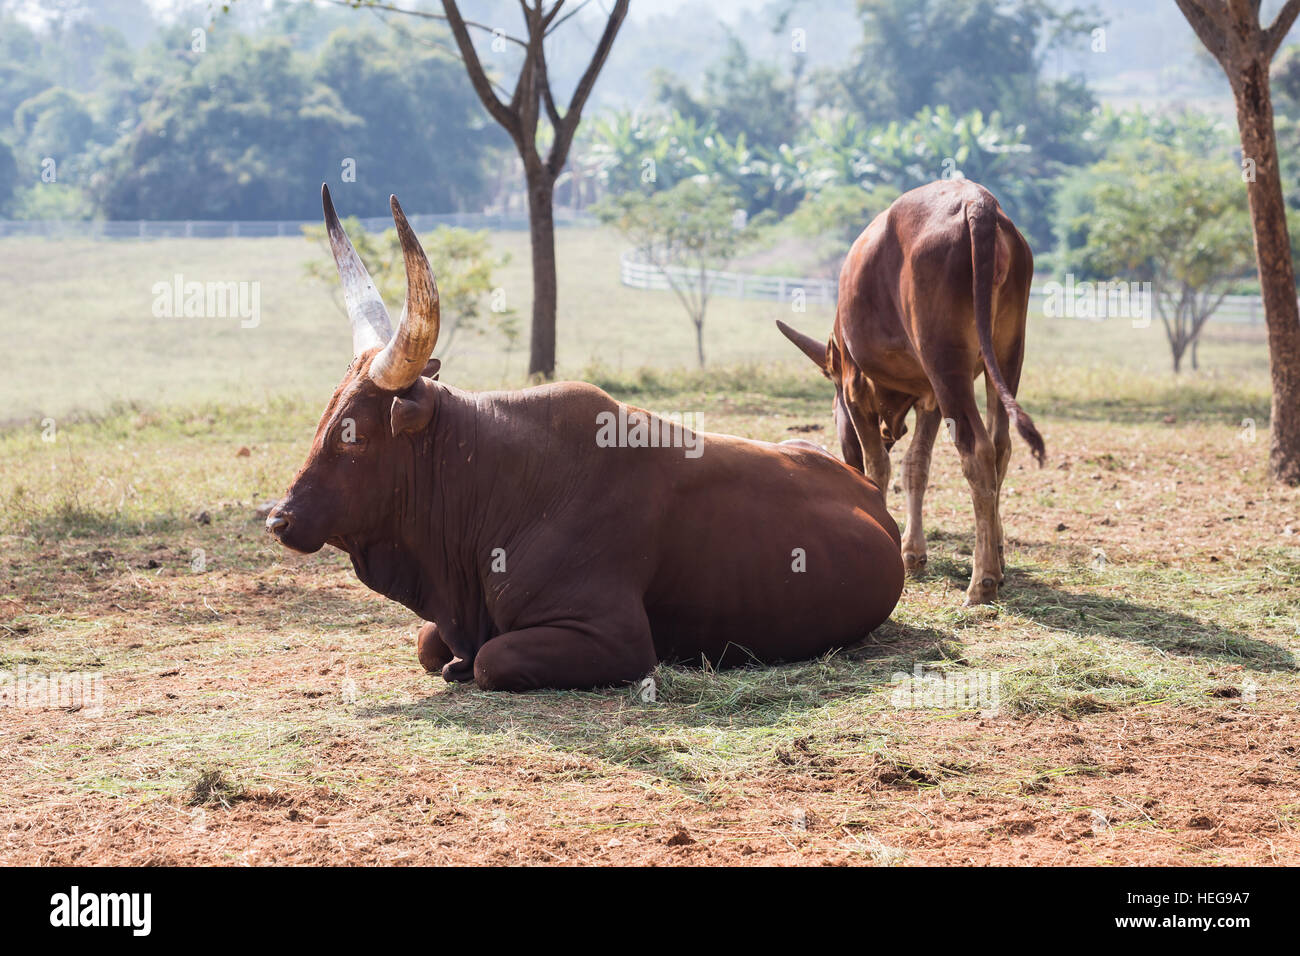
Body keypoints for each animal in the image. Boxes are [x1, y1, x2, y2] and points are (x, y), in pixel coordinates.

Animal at [265, 186, 905, 692]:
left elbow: (491, 661)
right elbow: (429, 645)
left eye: (354, 437)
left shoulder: (613, 637)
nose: (279, 518)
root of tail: (871, 495)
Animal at [776, 180, 1044, 606]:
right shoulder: (930, 398)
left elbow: (879, 467)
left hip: (945, 363)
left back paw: (982, 581)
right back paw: (998, 557)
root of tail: (977, 203)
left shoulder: (856, 390)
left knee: (978, 450)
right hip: (1005, 354)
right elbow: (916, 466)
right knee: (1001, 446)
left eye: (834, 394)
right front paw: (912, 552)